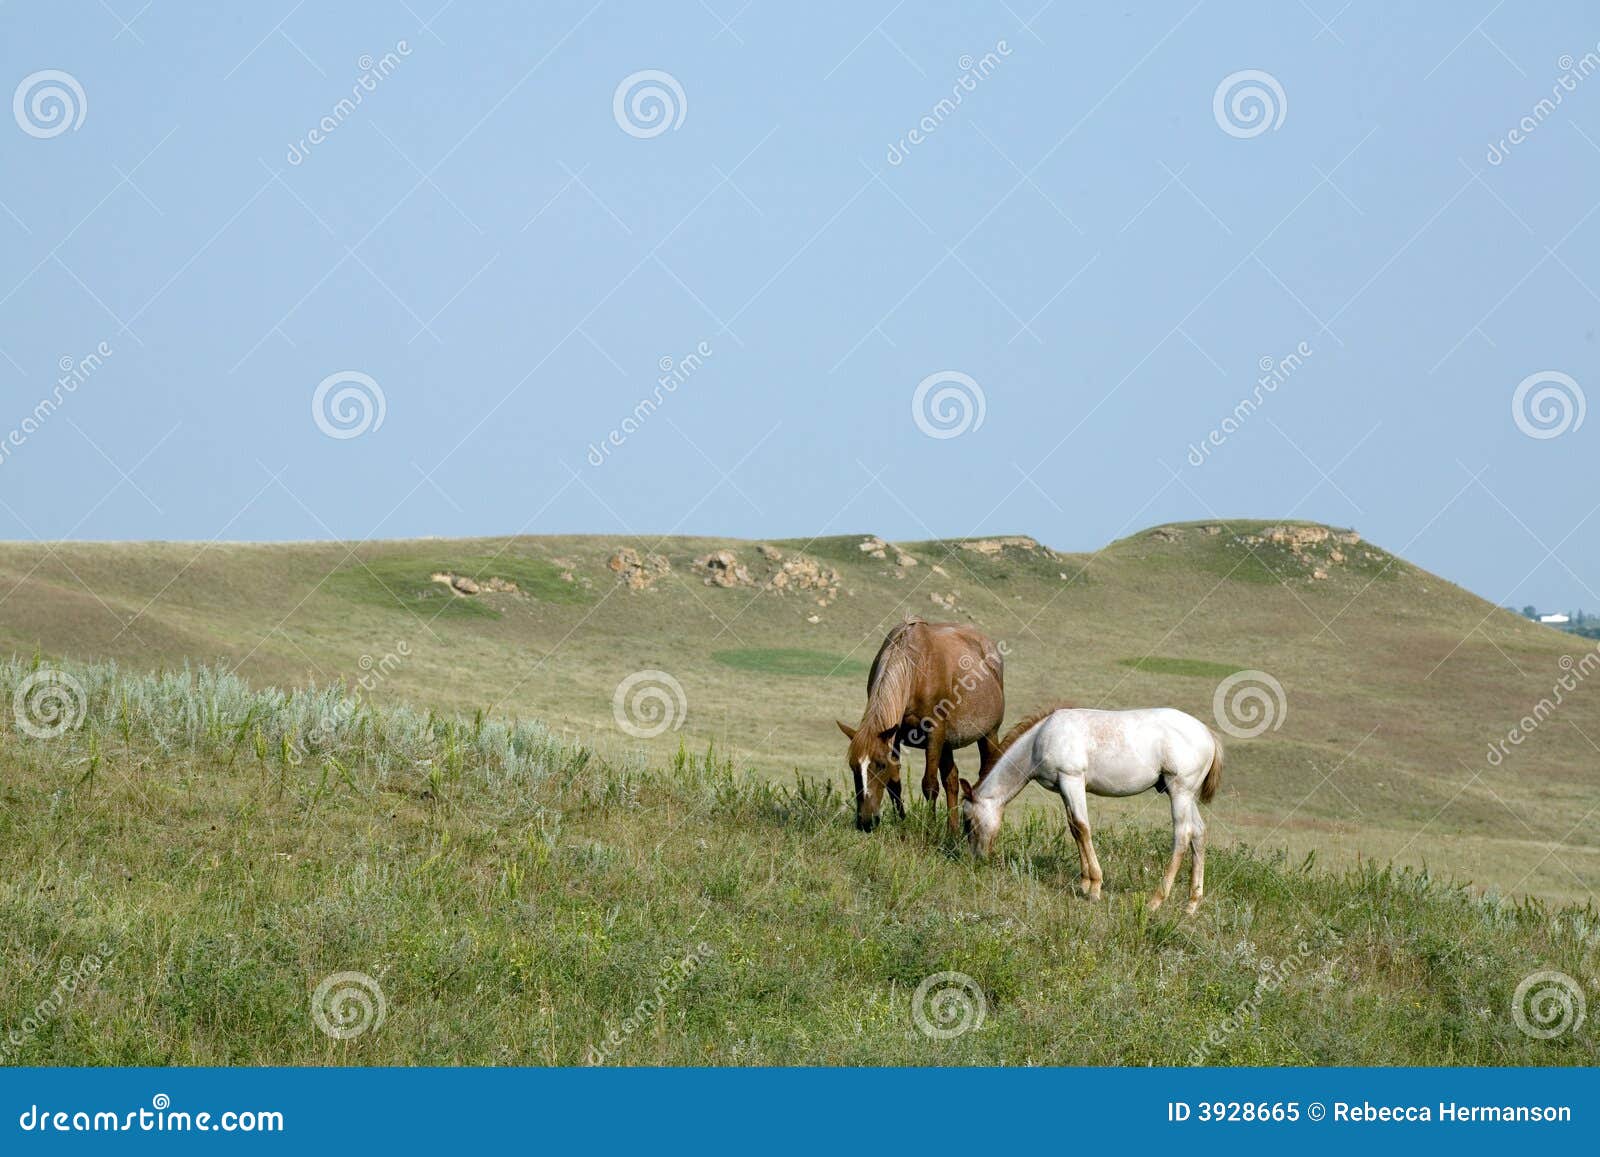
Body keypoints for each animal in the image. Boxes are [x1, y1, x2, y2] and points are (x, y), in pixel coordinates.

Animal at [836, 618, 1004, 834]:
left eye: (880, 765)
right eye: (853, 766)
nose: (866, 821)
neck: (914, 670)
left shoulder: (934, 732)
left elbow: (929, 785)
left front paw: (929, 829)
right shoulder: (895, 736)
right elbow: (895, 784)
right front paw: (902, 823)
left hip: (989, 734)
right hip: (947, 743)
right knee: (951, 780)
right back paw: (952, 831)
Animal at [959, 704, 1223, 913]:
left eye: (969, 821)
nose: (976, 859)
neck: (1040, 738)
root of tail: (1208, 734)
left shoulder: (1072, 780)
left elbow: (1083, 827)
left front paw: (1095, 887)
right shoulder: (1064, 788)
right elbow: (1075, 829)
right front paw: (1084, 882)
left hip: (1179, 793)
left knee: (1183, 836)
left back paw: (1156, 900)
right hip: (1186, 796)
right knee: (1199, 833)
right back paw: (1192, 903)